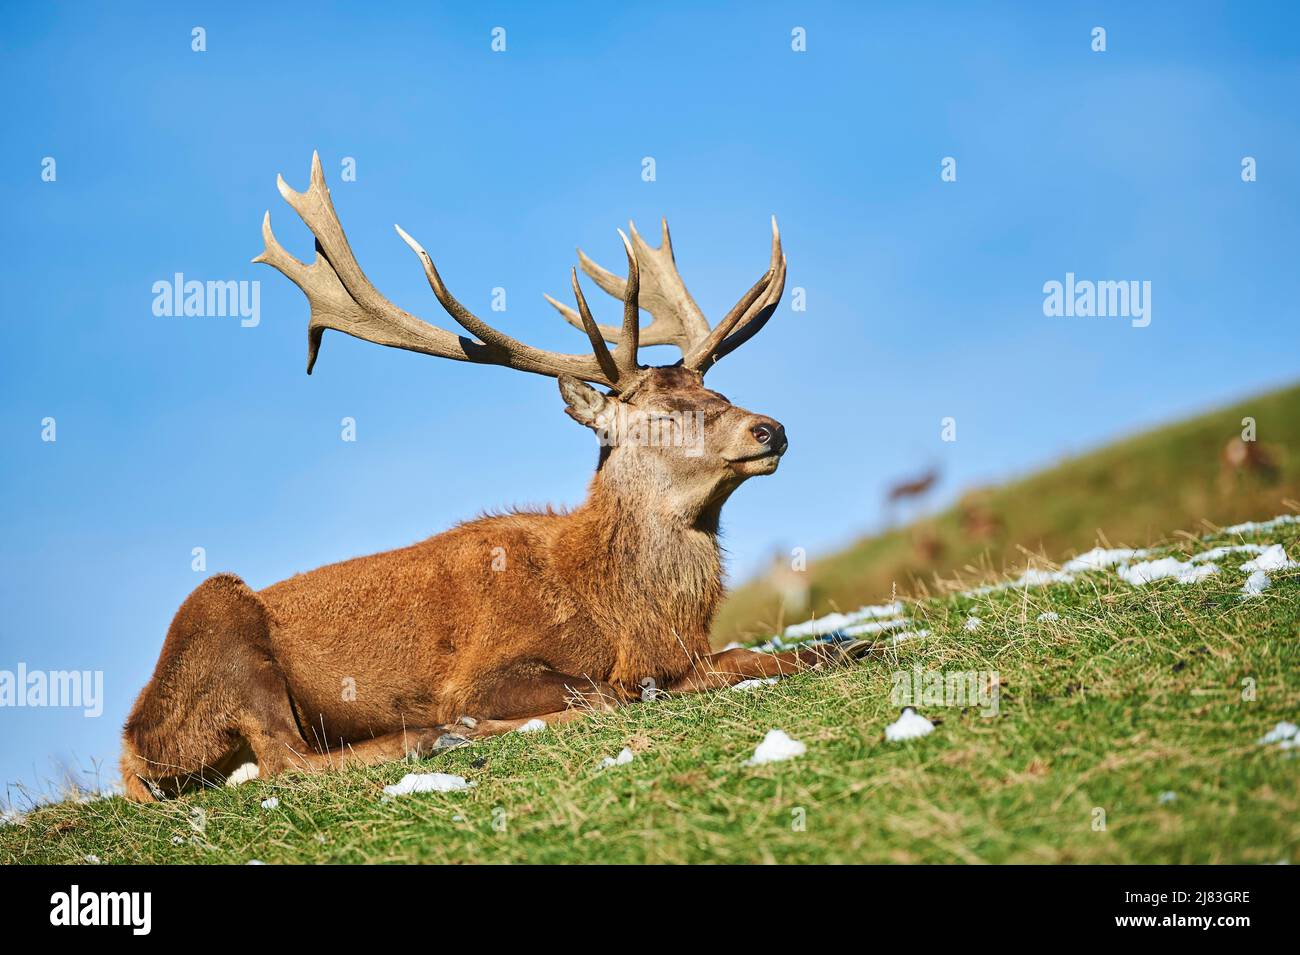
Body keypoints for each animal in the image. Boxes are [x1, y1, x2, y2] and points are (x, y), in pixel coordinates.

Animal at [120, 153, 872, 801]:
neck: (624, 614)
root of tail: (133, 754)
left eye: (716, 390)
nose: (769, 428)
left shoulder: (689, 651)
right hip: (216, 620)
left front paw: (849, 645)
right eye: (661, 414)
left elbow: (745, 656)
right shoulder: (484, 668)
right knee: (284, 758)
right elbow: (602, 691)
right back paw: (433, 738)